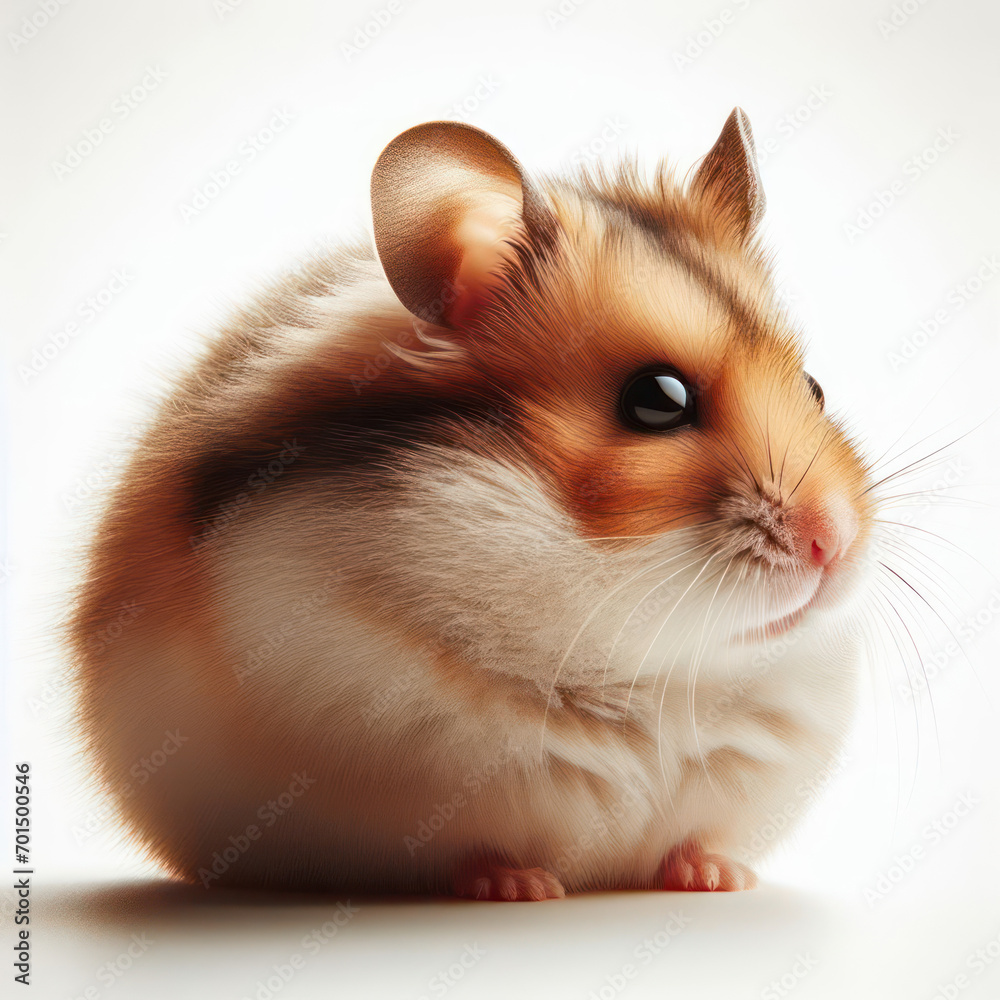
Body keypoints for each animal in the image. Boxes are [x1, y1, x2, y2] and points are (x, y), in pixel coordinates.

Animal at [70, 108, 875, 900]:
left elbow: (695, 837)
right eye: (657, 399)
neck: (640, 668)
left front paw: (717, 878)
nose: (833, 543)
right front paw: (522, 887)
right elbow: (460, 849)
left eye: (814, 388)